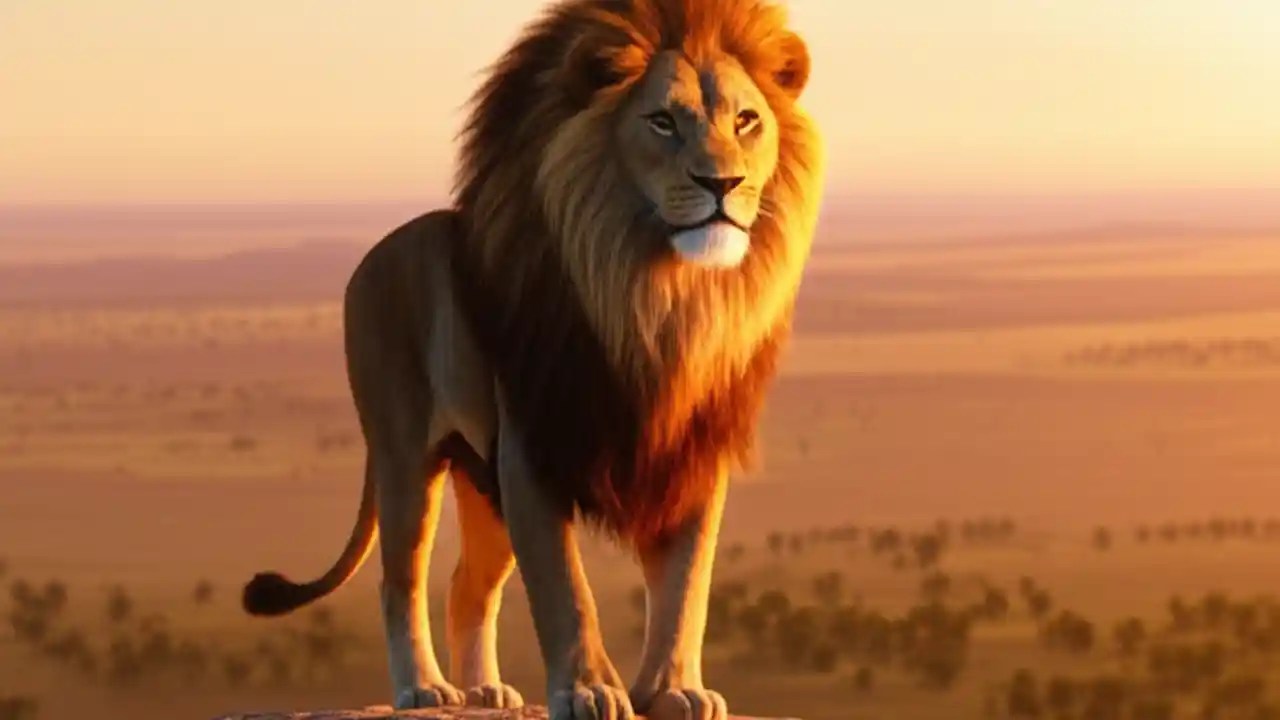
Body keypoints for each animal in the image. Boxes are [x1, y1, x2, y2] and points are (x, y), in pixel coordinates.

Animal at [239, 1, 824, 718]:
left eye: (746, 121)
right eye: (662, 121)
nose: (724, 183)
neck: (656, 294)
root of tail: (374, 254)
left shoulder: (690, 454)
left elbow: (688, 582)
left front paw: (674, 689)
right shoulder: (531, 446)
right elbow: (563, 588)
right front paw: (590, 690)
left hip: (478, 477)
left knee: (467, 584)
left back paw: (484, 689)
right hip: (407, 455)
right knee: (399, 579)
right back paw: (423, 687)